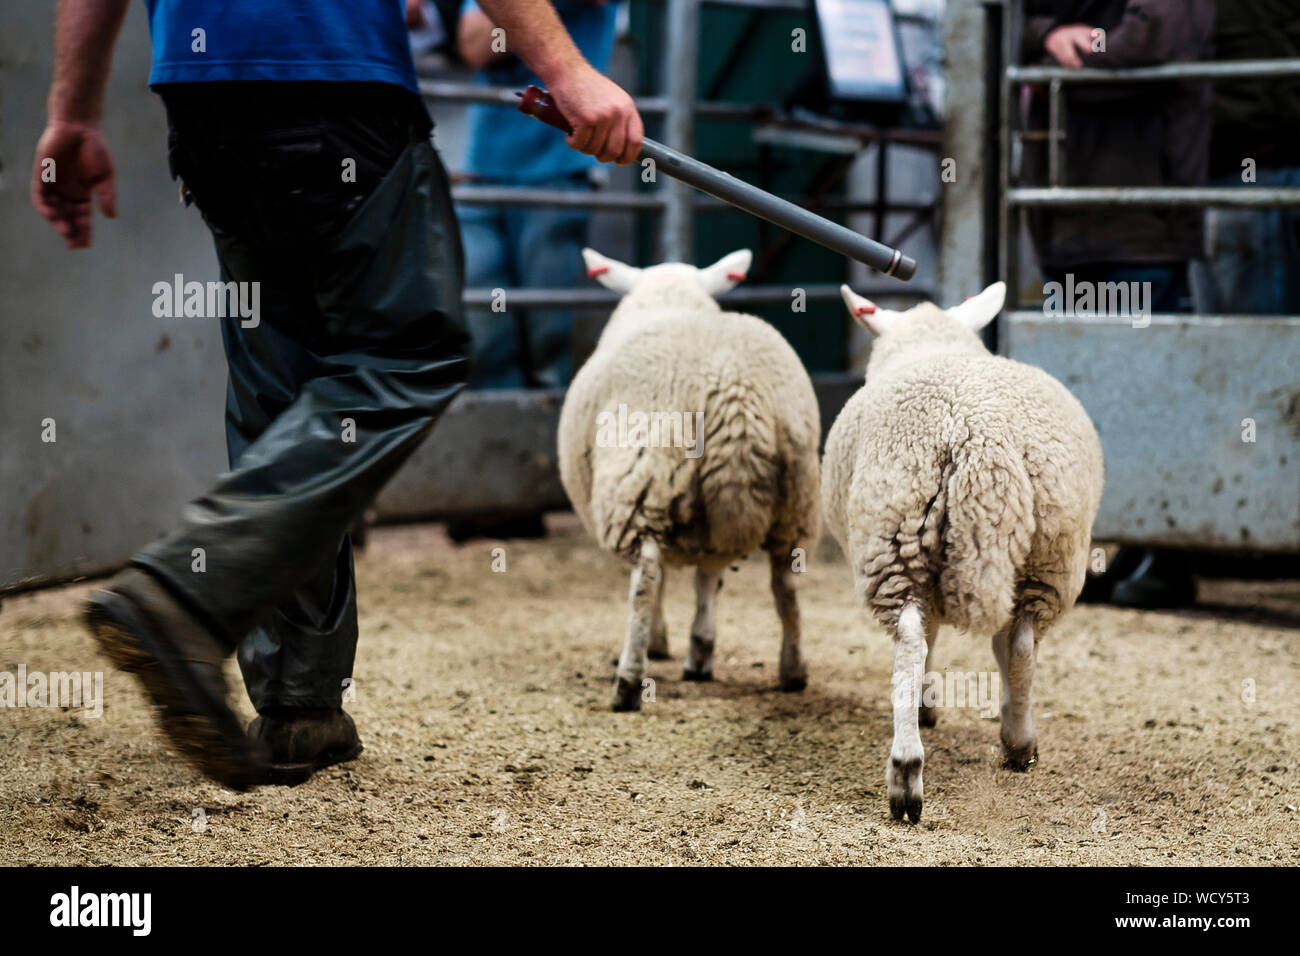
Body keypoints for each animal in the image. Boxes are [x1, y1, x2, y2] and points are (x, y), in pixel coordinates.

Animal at [559, 247, 822, 712]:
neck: (669, 297)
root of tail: (736, 392)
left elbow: (665, 579)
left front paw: (662, 642)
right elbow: (707, 582)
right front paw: (698, 649)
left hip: (642, 477)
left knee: (645, 577)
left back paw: (628, 681)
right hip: (795, 496)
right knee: (784, 583)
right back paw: (791, 670)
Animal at [822, 281, 1104, 822]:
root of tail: (981, 440)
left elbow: (928, 640)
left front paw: (927, 706)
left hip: (894, 544)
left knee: (912, 642)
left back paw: (907, 773)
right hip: (1050, 554)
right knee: (1020, 643)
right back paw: (1019, 744)